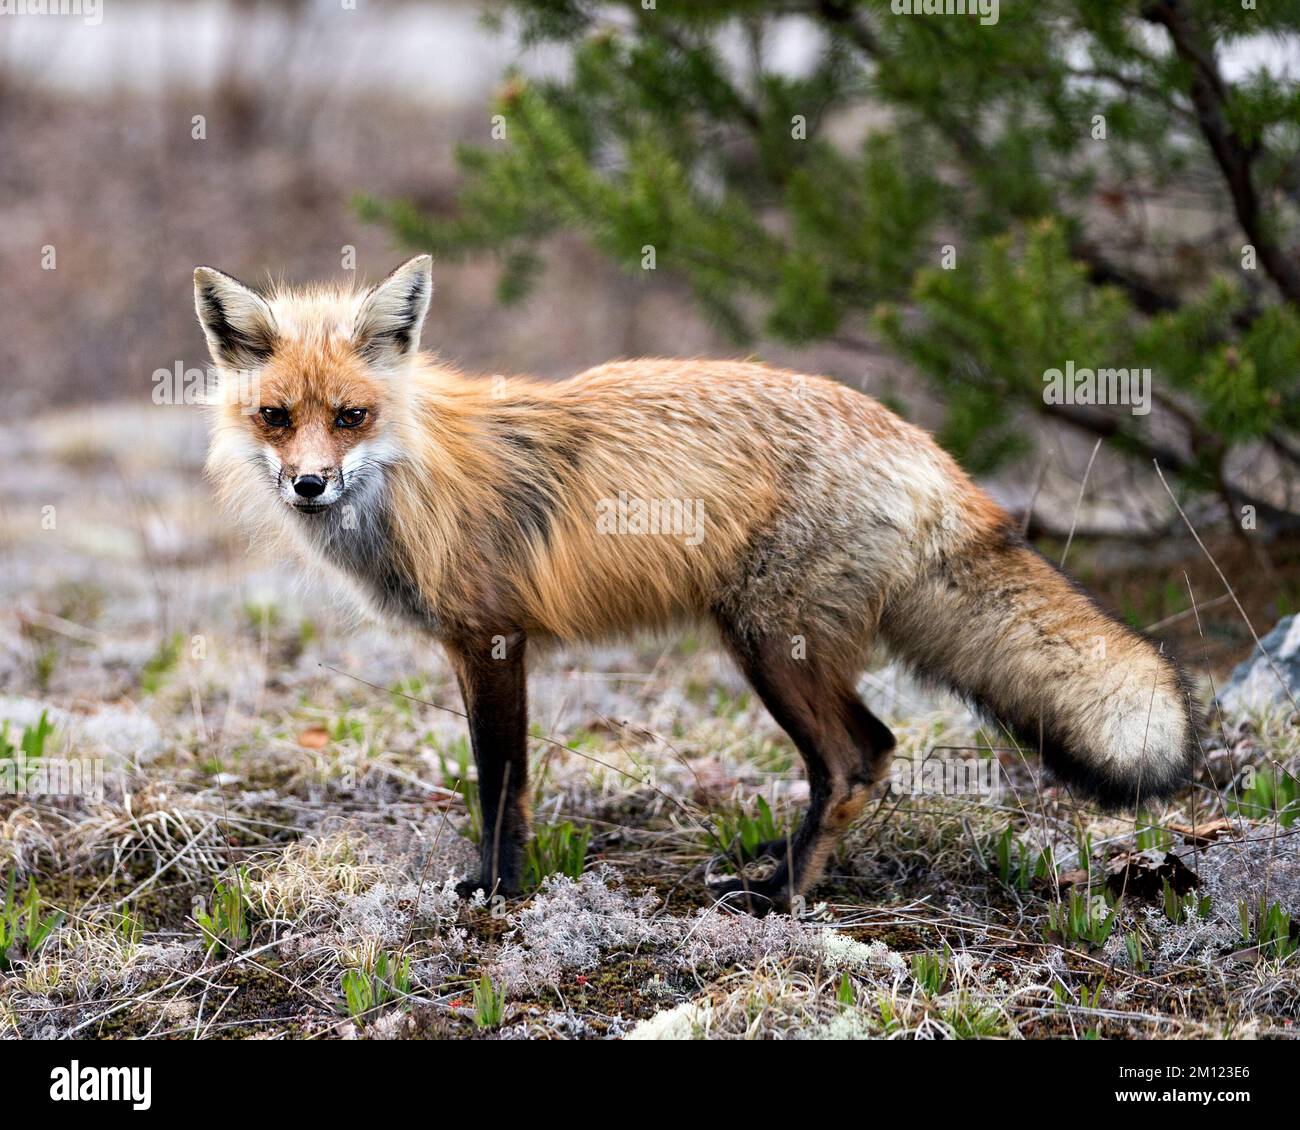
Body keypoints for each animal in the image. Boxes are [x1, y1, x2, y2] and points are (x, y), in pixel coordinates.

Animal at [195, 254, 1196, 913]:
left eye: (350, 416)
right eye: (276, 417)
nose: (308, 484)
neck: (413, 476)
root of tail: (926, 450)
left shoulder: (493, 640)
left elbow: (500, 784)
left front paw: (497, 892)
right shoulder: (471, 647)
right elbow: (497, 782)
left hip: (769, 645)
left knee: (855, 758)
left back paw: (781, 894)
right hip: (779, 646)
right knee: (869, 752)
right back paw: (773, 858)